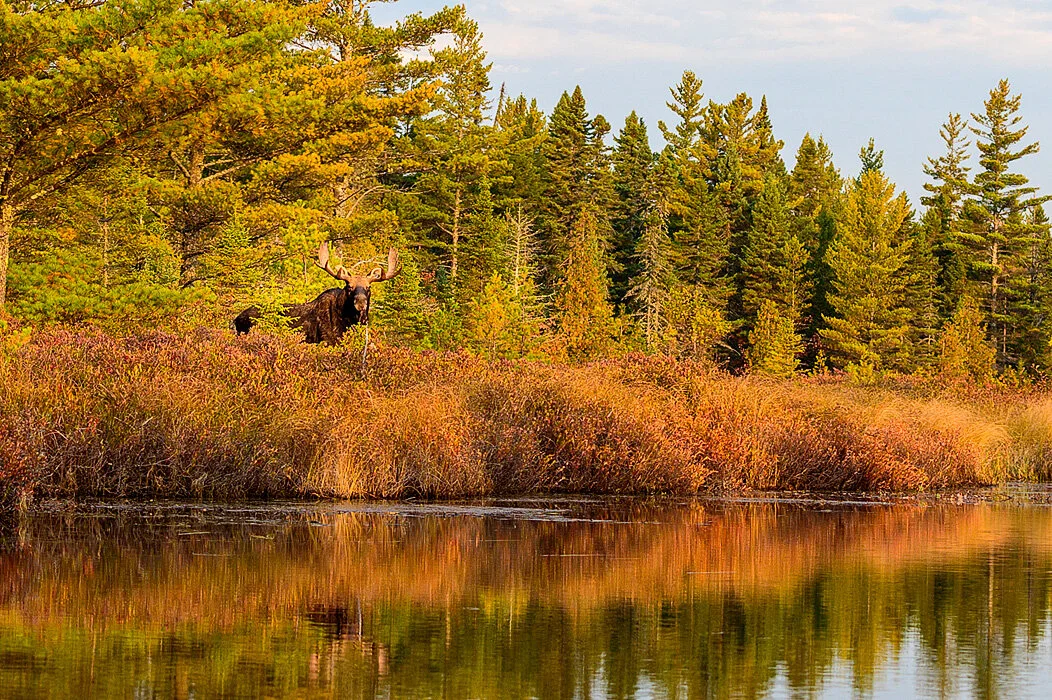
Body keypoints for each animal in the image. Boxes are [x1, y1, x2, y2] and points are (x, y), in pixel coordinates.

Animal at [233, 242, 400, 345]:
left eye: (368, 287)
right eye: (349, 287)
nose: (360, 303)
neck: (350, 321)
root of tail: (235, 319)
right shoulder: (328, 340)